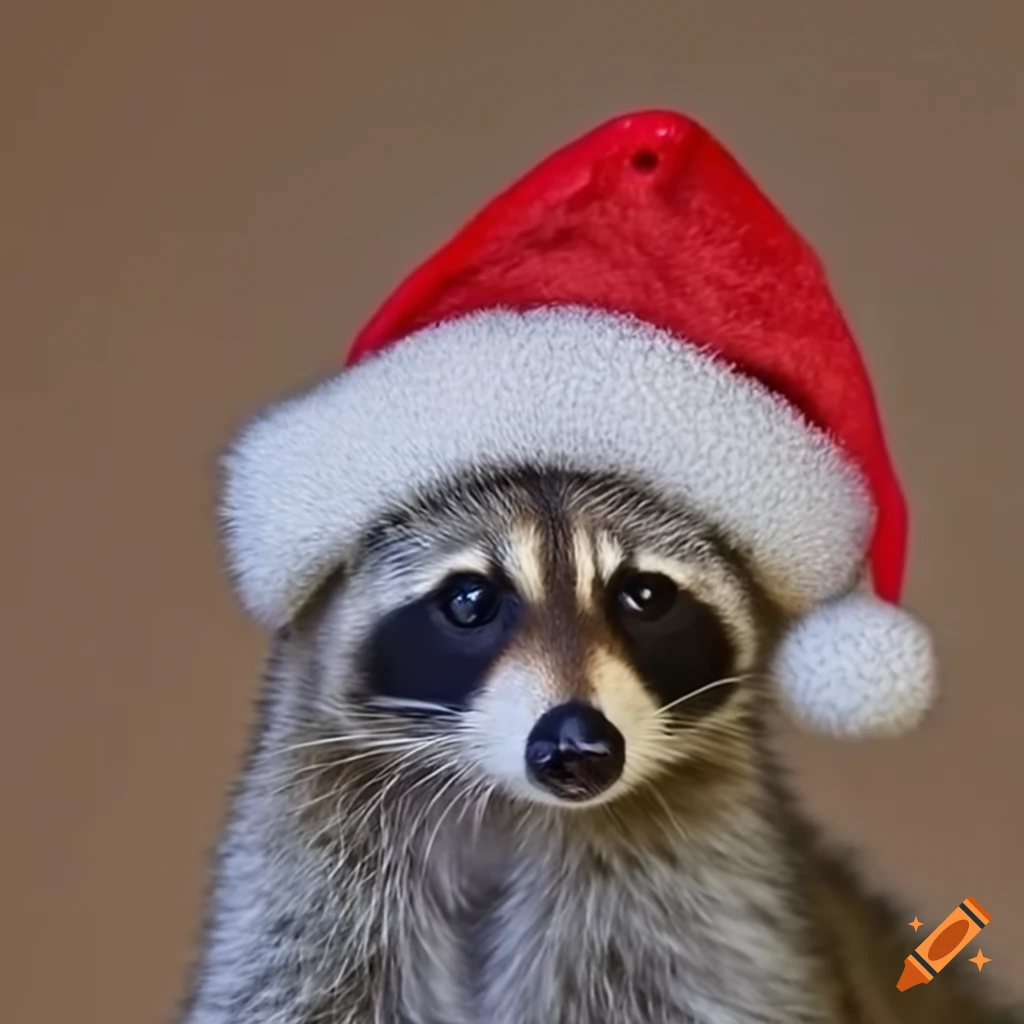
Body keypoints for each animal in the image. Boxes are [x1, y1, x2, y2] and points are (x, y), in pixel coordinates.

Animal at [179, 465, 1018, 1024]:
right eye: (470, 599)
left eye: (644, 595)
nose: (577, 744)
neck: (506, 811)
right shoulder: (308, 903)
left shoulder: (705, 930)